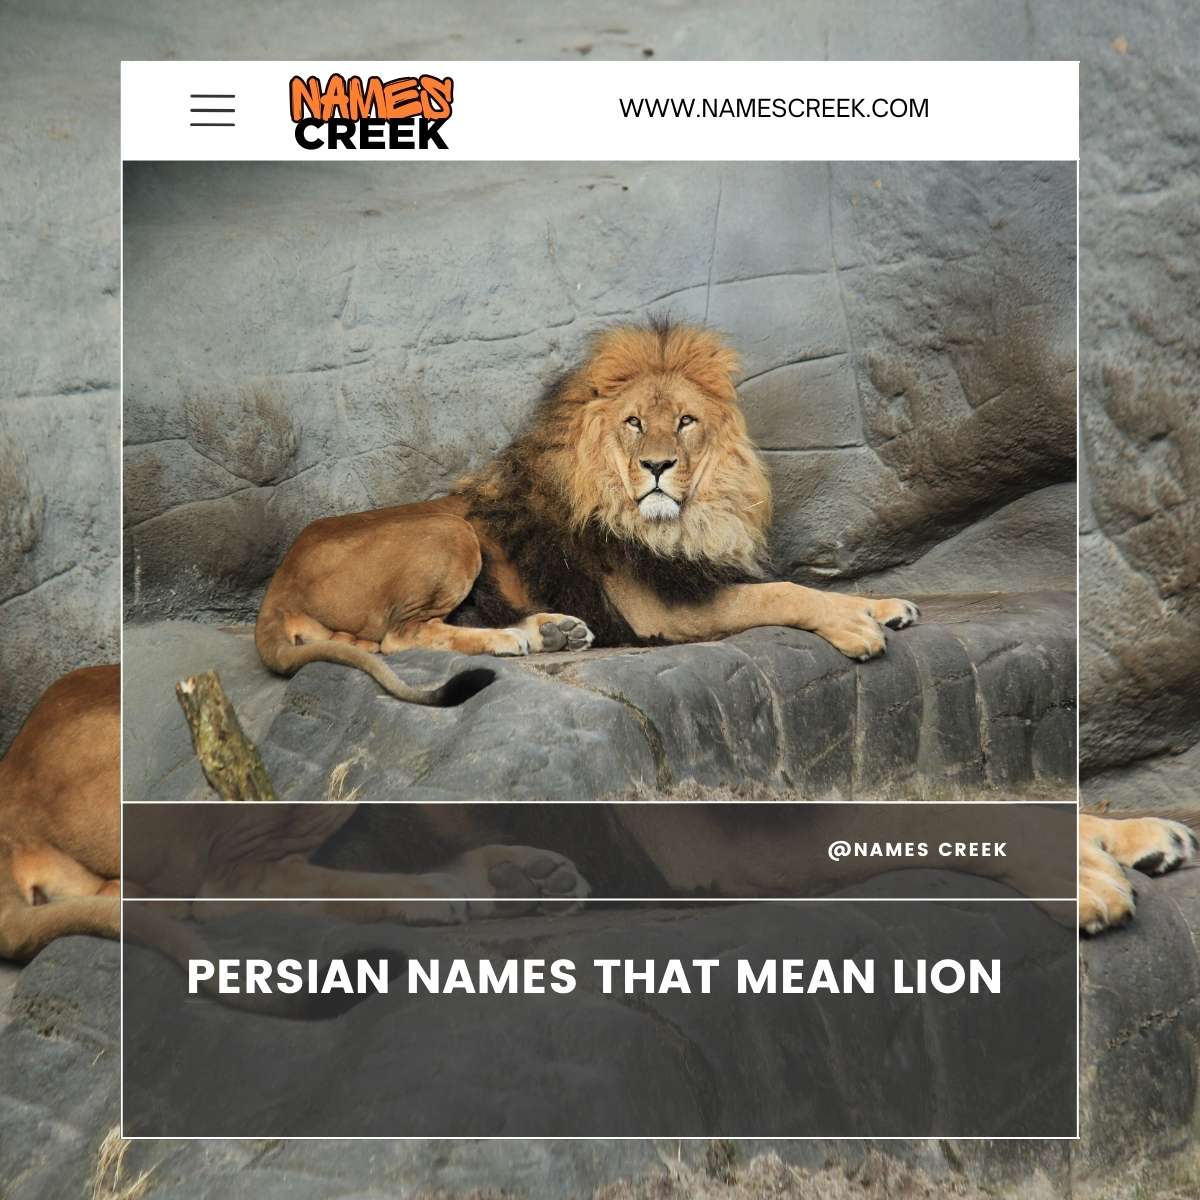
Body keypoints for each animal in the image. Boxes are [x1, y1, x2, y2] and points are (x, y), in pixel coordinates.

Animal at [254, 320, 921, 704]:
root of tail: (277, 585)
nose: (658, 466)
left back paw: (551, 629)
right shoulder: (664, 608)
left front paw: (884, 604)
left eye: (685, 421)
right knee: (399, 636)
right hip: (449, 531)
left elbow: (809, 586)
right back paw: (514, 639)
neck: (687, 522)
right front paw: (856, 628)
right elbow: (783, 593)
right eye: (634, 423)